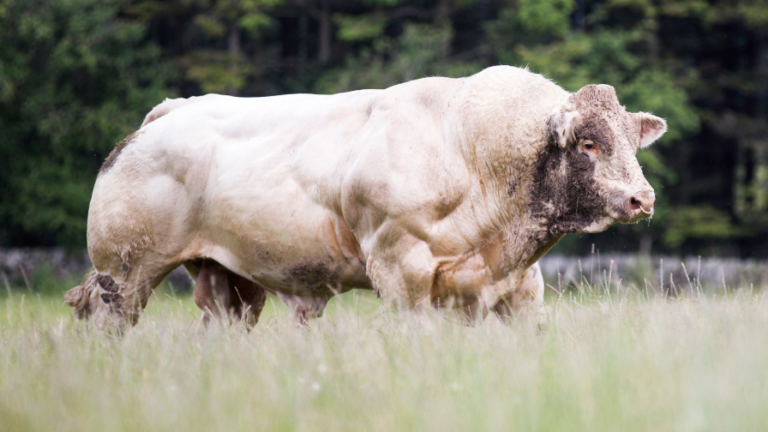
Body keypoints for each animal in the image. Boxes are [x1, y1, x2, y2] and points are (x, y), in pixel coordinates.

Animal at [64, 66, 665, 331]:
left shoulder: (518, 283)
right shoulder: (402, 273)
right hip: (126, 272)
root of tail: (168, 113)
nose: (642, 198)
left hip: (227, 280)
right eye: (589, 143)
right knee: (103, 317)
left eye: (630, 139)